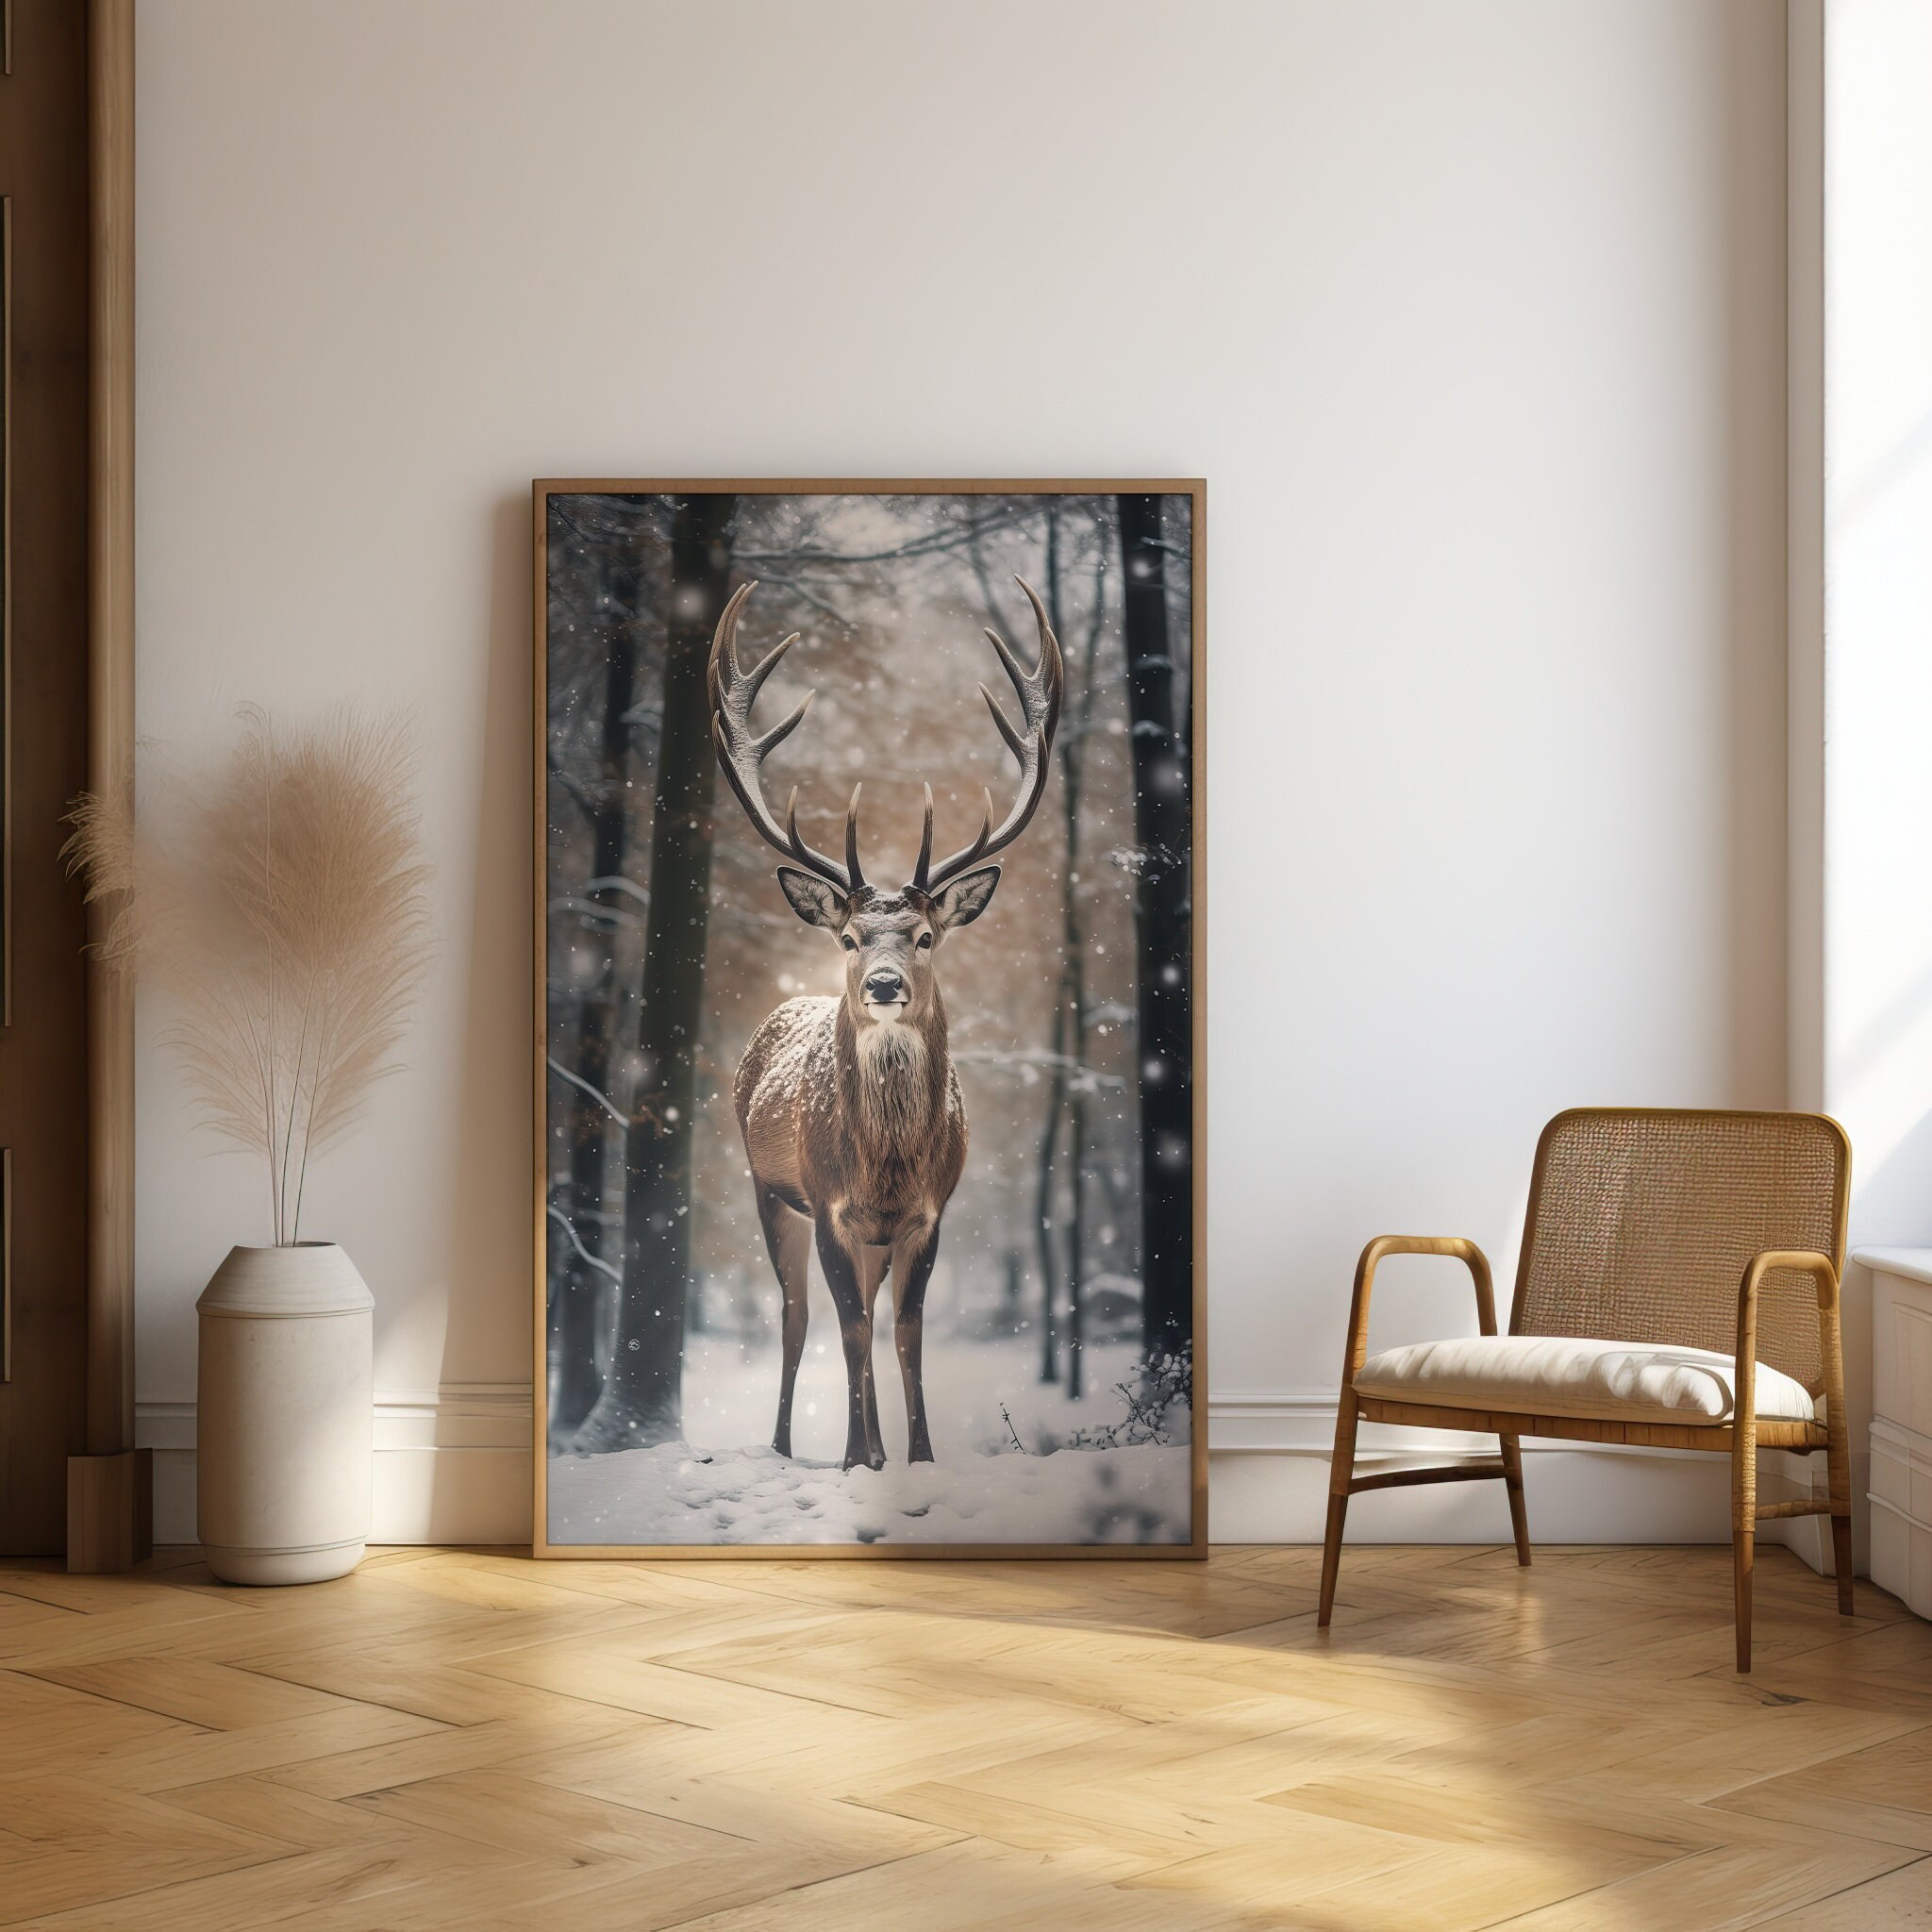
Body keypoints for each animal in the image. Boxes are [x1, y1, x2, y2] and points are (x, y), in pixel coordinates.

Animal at [708, 577, 1063, 1472]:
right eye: (848, 936)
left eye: (928, 934)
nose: (884, 983)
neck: (889, 1166)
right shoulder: (829, 1203)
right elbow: (851, 1330)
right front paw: (854, 1459)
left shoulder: (929, 1214)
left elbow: (906, 1333)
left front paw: (919, 1457)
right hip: (770, 1194)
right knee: (798, 1319)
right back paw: (786, 1444)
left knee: (857, 1316)